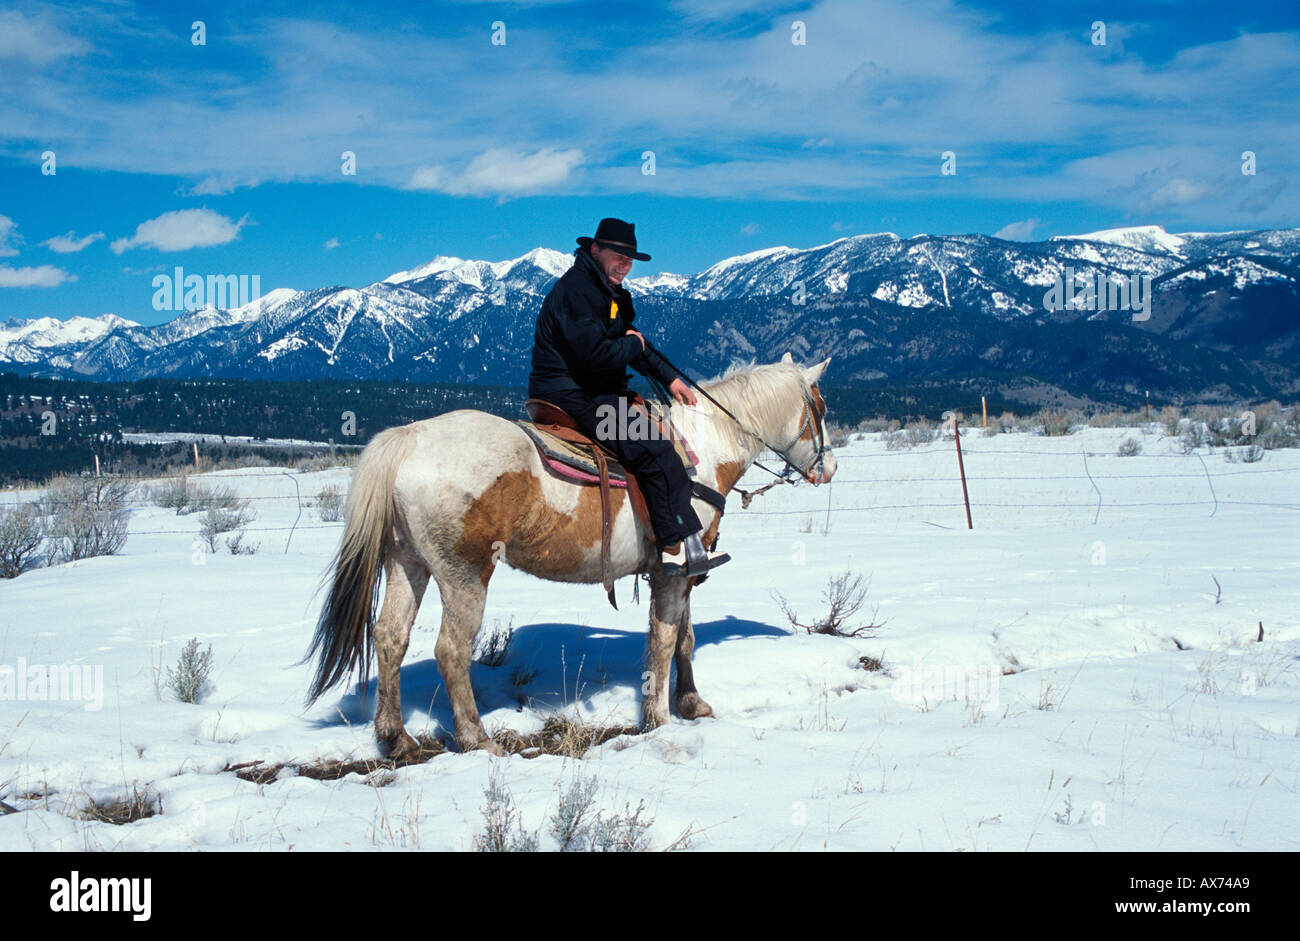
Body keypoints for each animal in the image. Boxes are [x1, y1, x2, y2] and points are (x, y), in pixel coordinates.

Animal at [304, 353, 837, 757]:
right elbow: (665, 641)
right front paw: (661, 717)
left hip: (407, 563)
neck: (703, 453)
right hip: (464, 574)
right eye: (821, 406)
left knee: (389, 638)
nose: (829, 468)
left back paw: (396, 739)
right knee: (451, 650)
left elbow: (683, 640)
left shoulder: (683, 569)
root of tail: (409, 438)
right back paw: (478, 740)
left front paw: (692, 704)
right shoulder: (674, 572)